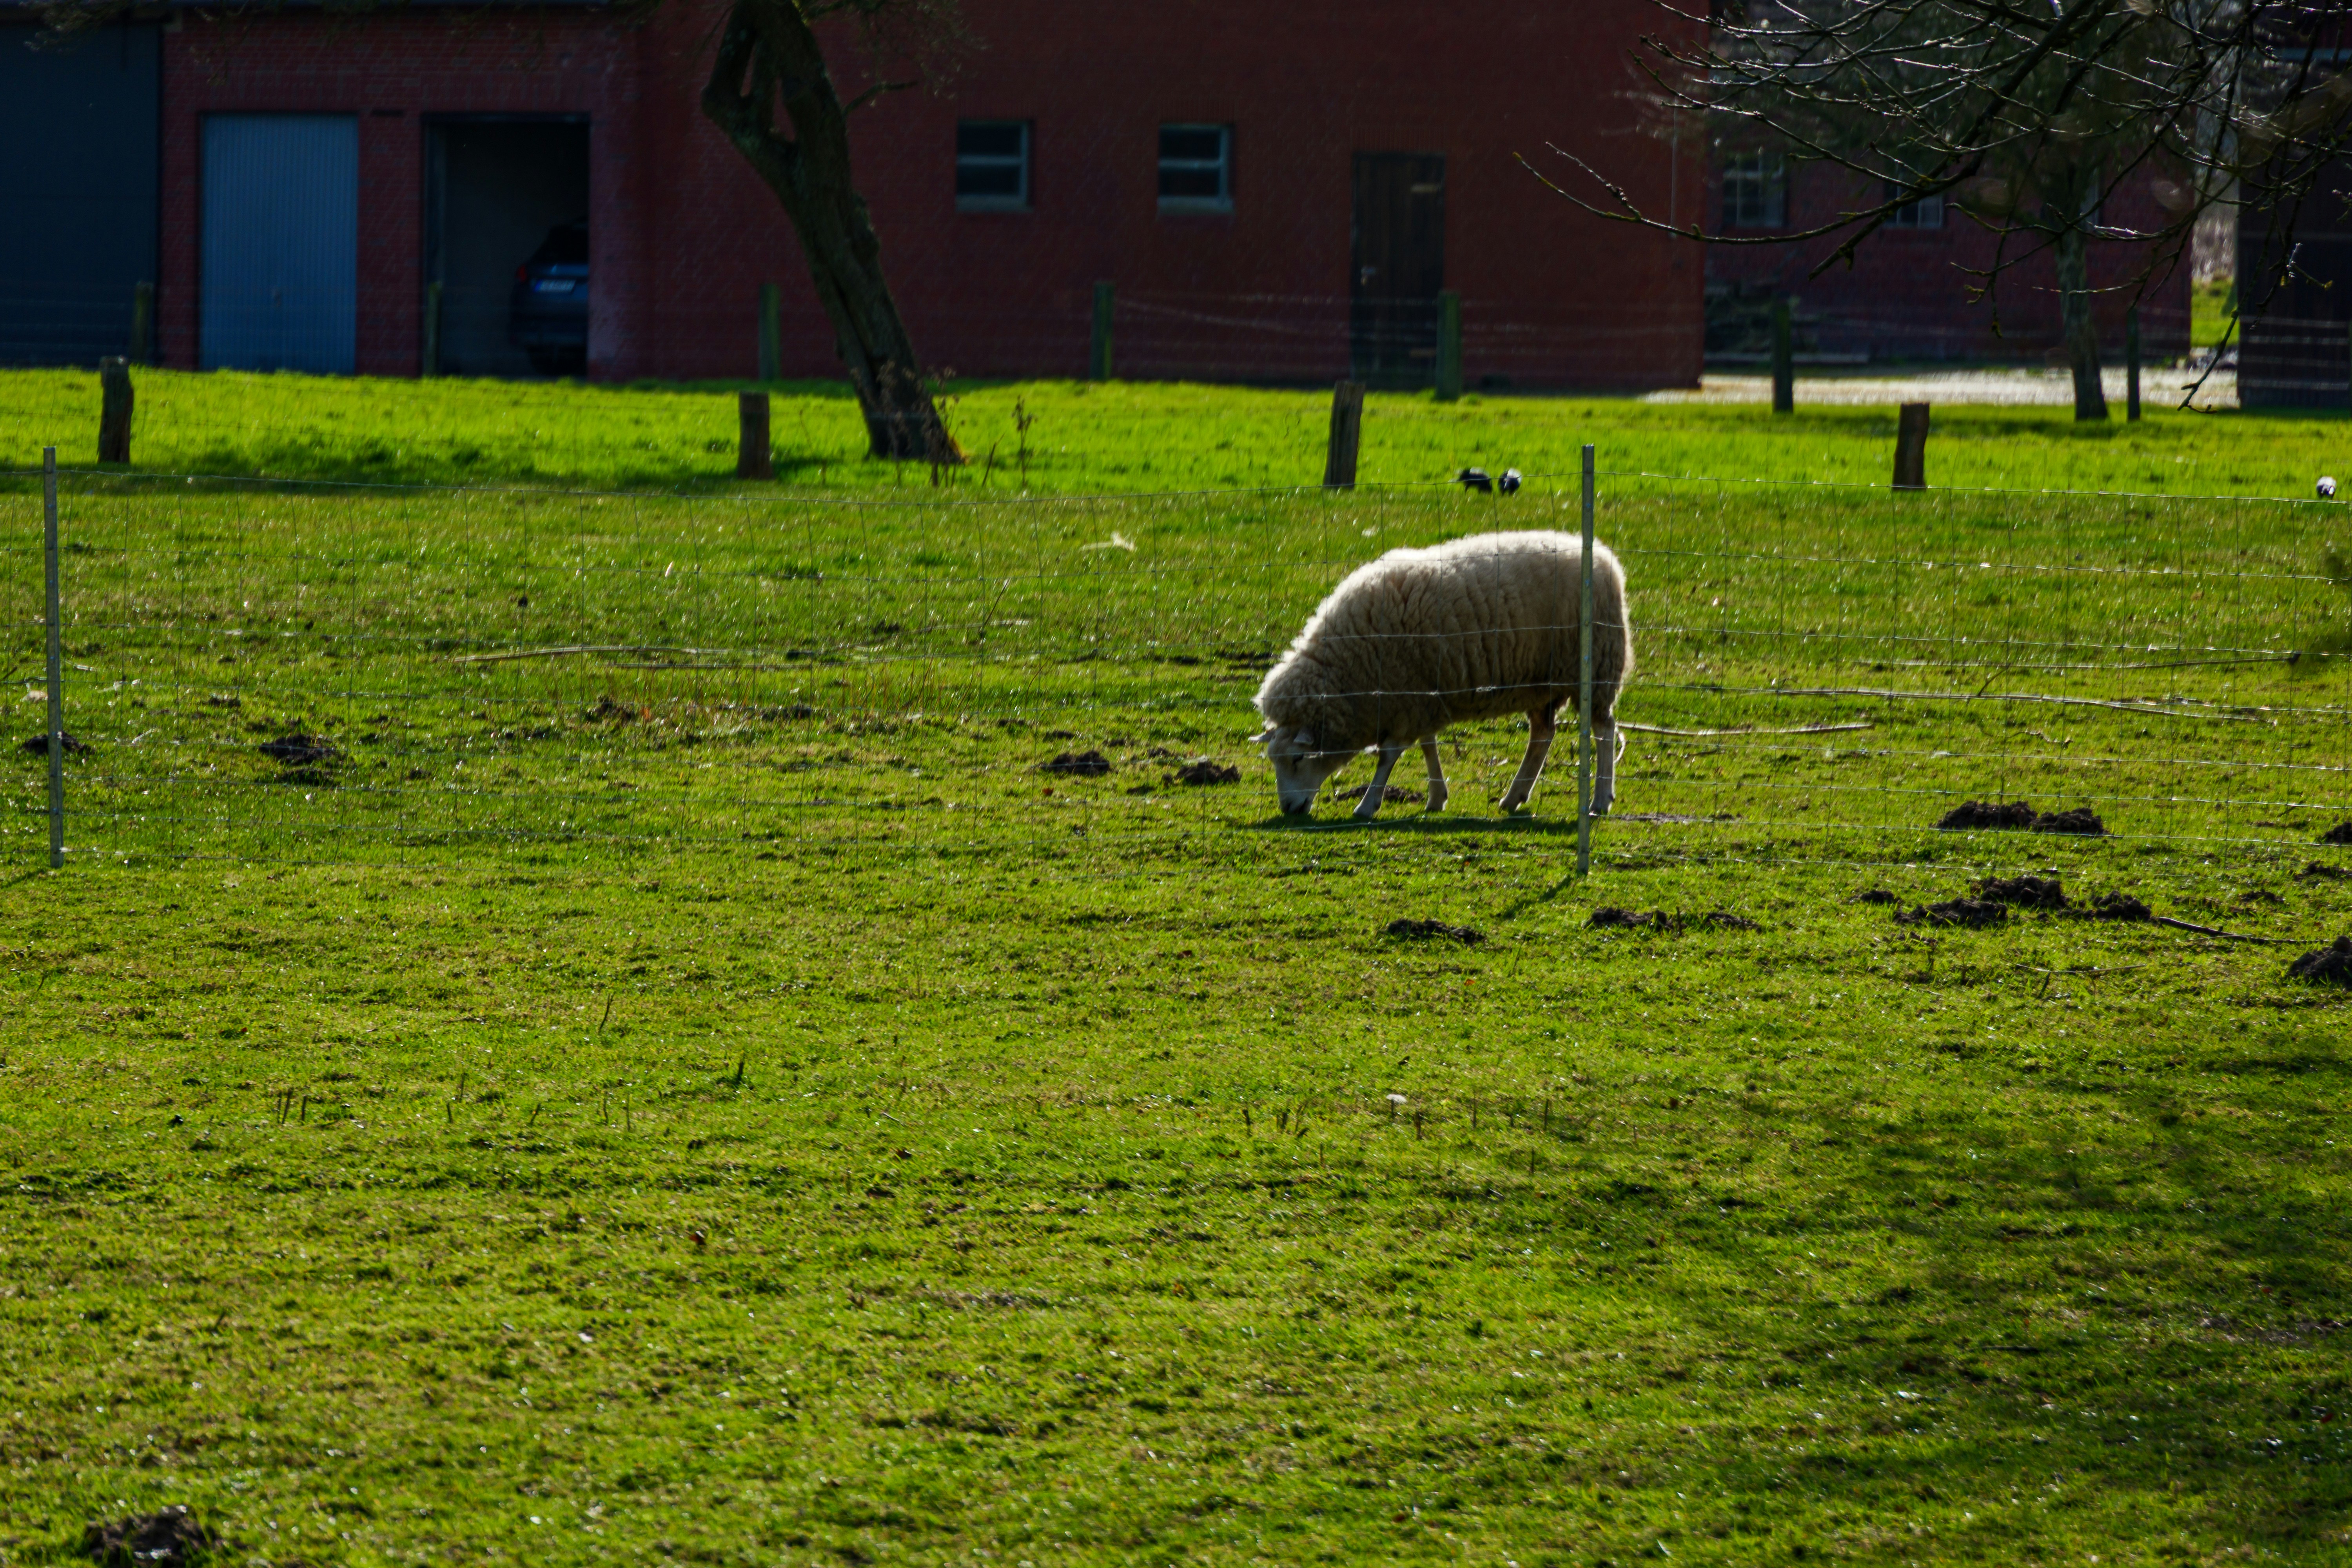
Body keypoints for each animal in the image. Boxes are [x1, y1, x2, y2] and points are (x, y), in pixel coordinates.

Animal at [1253, 529, 1633, 820]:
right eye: (1273, 760)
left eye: (1298, 758)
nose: (1289, 809)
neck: (1349, 671)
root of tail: (1603, 558)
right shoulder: (1421, 697)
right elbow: (1428, 746)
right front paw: (1437, 798)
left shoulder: (1407, 697)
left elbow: (1388, 756)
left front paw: (1368, 804)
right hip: (1542, 682)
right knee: (1543, 735)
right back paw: (1514, 797)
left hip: (1597, 665)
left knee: (1603, 730)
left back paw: (1600, 800)